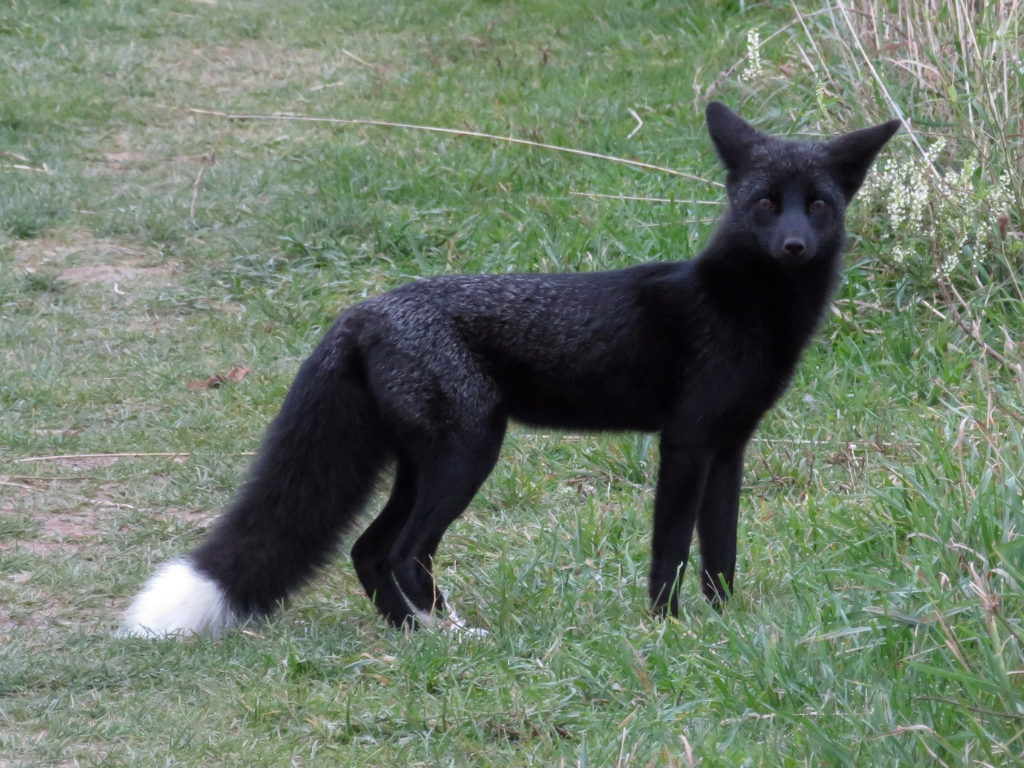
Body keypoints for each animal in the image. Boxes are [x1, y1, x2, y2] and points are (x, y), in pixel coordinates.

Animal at [122, 102, 900, 637]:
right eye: (765, 203)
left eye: (818, 204)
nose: (794, 246)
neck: (741, 307)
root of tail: (363, 311)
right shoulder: (684, 442)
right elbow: (670, 551)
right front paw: (667, 629)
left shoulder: (730, 446)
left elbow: (722, 554)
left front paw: (726, 626)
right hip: (469, 454)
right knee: (402, 553)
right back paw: (453, 638)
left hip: (426, 463)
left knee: (370, 552)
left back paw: (414, 637)